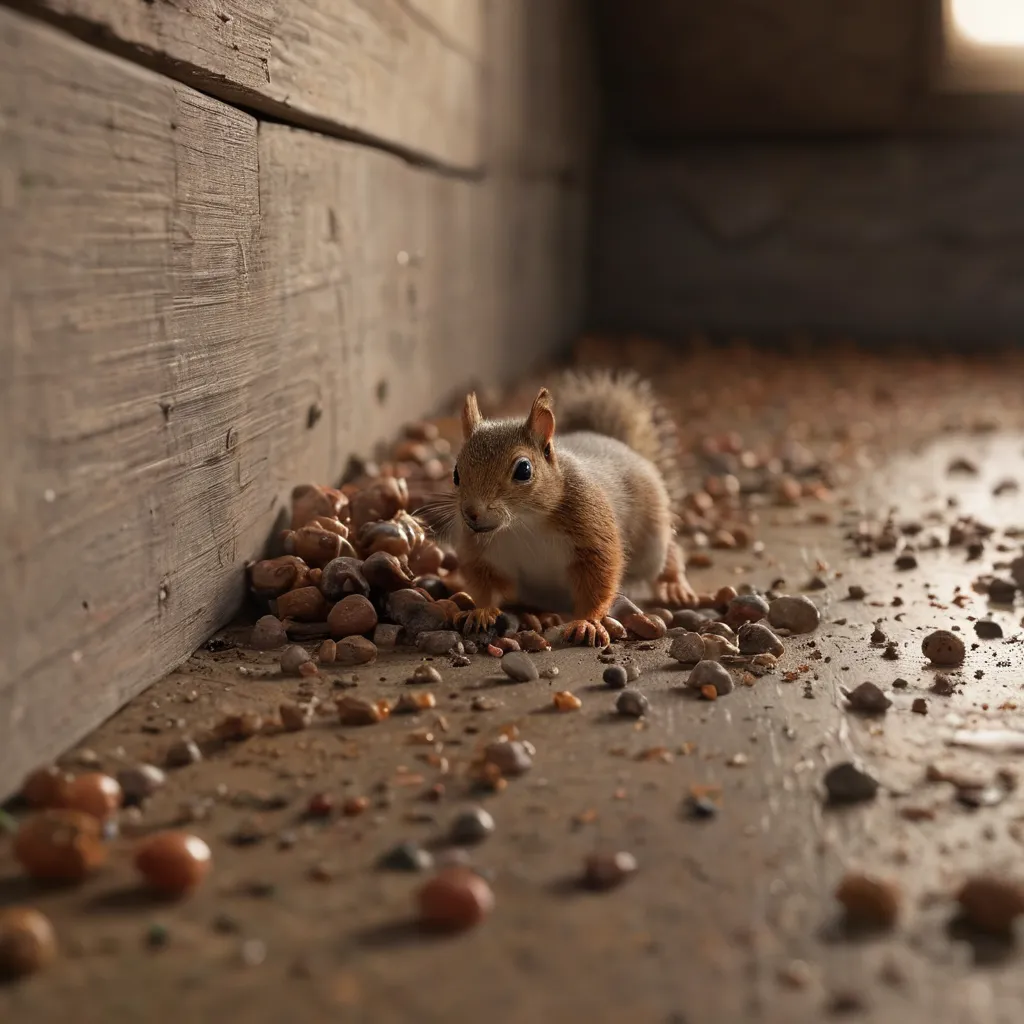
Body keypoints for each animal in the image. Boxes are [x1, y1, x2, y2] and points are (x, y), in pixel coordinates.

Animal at [444, 370, 698, 647]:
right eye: (456, 473)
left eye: (524, 470)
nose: (471, 513)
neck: (522, 525)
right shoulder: (480, 554)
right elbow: (484, 586)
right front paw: (481, 611)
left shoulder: (592, 532)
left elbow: (599, 578)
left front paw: (586, 622)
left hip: (651, 538)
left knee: (668, 554)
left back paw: (673, 585)